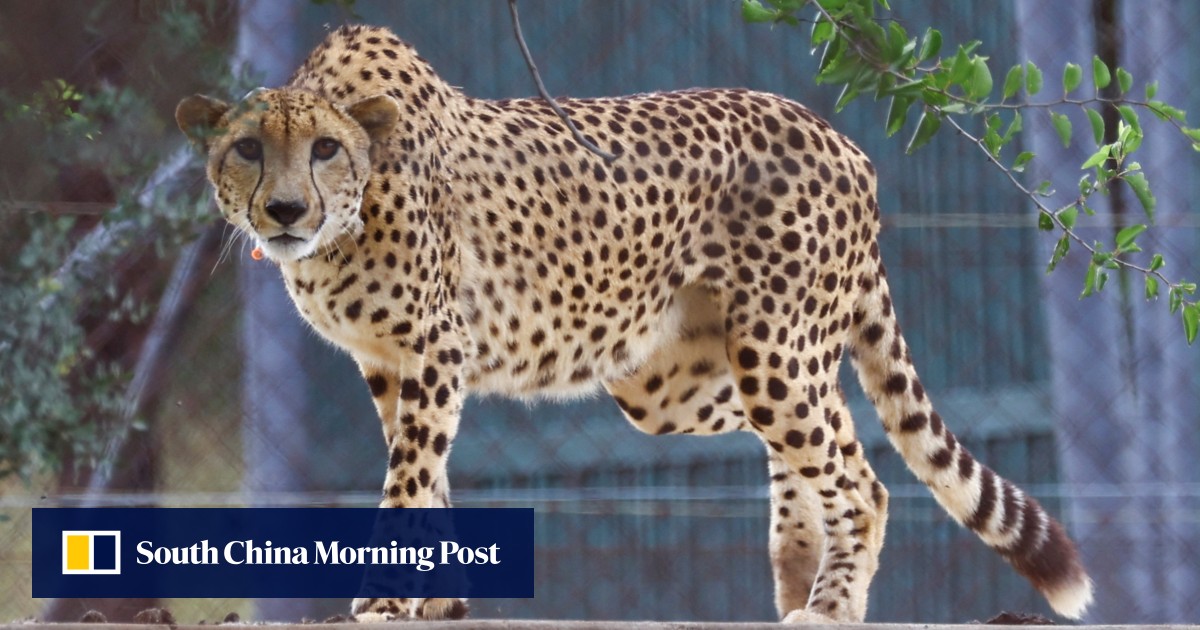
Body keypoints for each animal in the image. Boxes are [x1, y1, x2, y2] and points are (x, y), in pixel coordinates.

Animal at [176, 24, 1093, 623]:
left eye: (325, 150)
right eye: (247, 149)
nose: (285, 210)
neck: (343, 223)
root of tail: (839, 137)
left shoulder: (436, 346)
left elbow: (407, 476)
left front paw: (384, 598)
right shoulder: (387, 363)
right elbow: (422, 472)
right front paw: (440, 598)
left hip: (768, 349)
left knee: (859, 475)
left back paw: (830, 604)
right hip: (684, 380)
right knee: (830, 424)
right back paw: (798, 574)